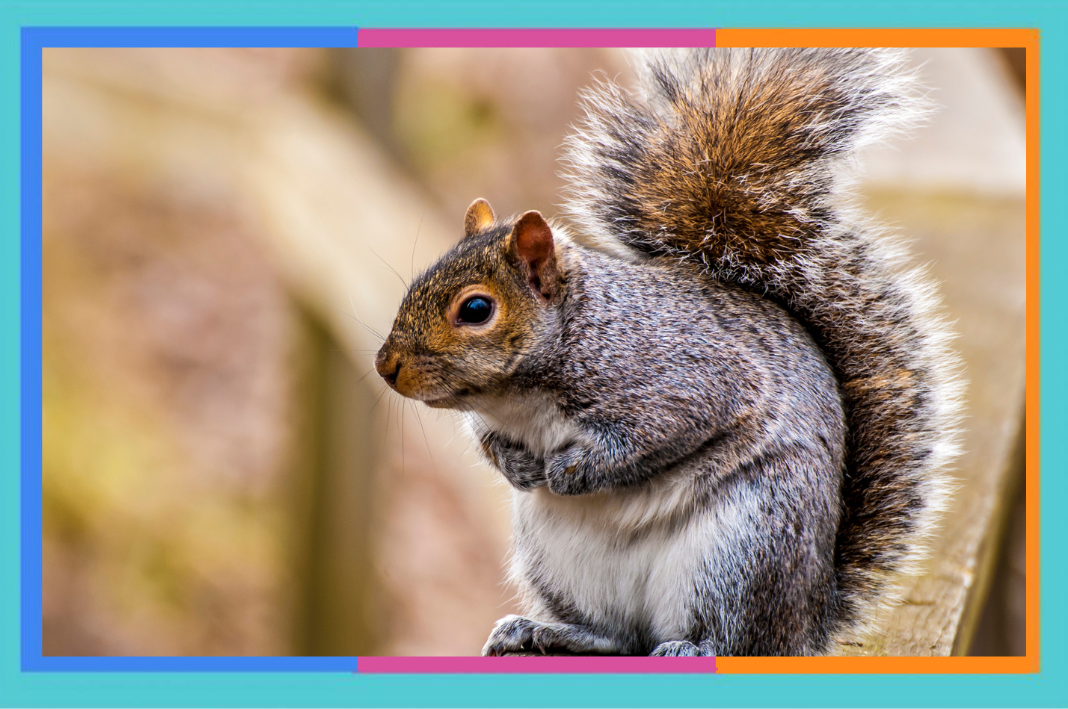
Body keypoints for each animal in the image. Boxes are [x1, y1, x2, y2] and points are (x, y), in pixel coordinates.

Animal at [374, 48, 963, 656]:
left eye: (475, 309)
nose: (385, 367)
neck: (523, 395)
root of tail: (805, 622)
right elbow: (488, 441)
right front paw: (516, 465)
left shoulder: (682, 379)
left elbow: (652, 435)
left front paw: (571, 470)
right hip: (563, 562)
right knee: (615, 636)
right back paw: (543, 631)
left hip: (744, 546)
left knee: (732, 637)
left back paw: (691, 645)